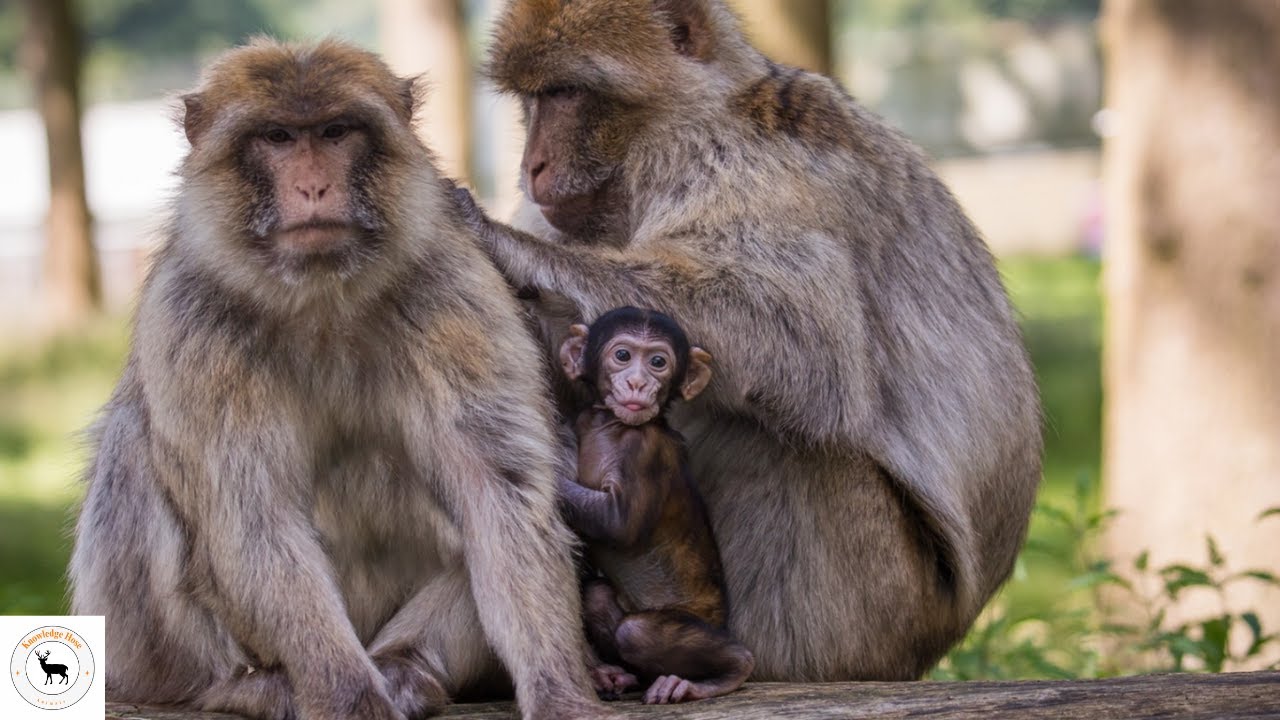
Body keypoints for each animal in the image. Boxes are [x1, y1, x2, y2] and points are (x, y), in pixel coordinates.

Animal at [67, 39, 614, 720]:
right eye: (278, 137)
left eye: (334, 132)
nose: (313, 184)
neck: (322, 297)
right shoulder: (190, 321)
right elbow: (254, 516)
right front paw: (351, 698)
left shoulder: (454, 293)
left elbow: (500, 494)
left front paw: (561, 693)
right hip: (139, 653)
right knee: (132, 449)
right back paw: (242, 684)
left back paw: (408, 666)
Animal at [555, 307, 753, 705]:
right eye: (622, 356)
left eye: (658, 362)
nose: (637, 383)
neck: (609, 423)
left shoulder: (642, 451)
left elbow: (618, 522)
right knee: (597, 597)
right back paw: (621, 677)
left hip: (700, 624)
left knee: (637, 632)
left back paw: (719, 674)